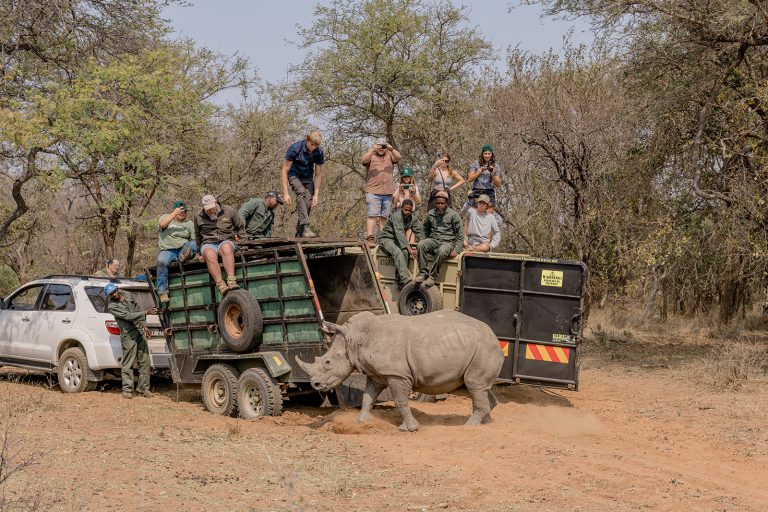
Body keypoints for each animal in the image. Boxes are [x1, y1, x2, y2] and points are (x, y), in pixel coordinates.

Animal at [295, 309, 504, 432]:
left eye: (327, 362)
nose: (315, 384)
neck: (355, 339)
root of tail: (494, 335)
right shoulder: (377, 374)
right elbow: (368, 397)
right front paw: (361, 422)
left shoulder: (397, 374)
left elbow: (400, 401)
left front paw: (409, 429)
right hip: (479, 347)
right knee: (481, 387)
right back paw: (487, 423)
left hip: (483, 348)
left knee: (474, 385)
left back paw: (468, 427)